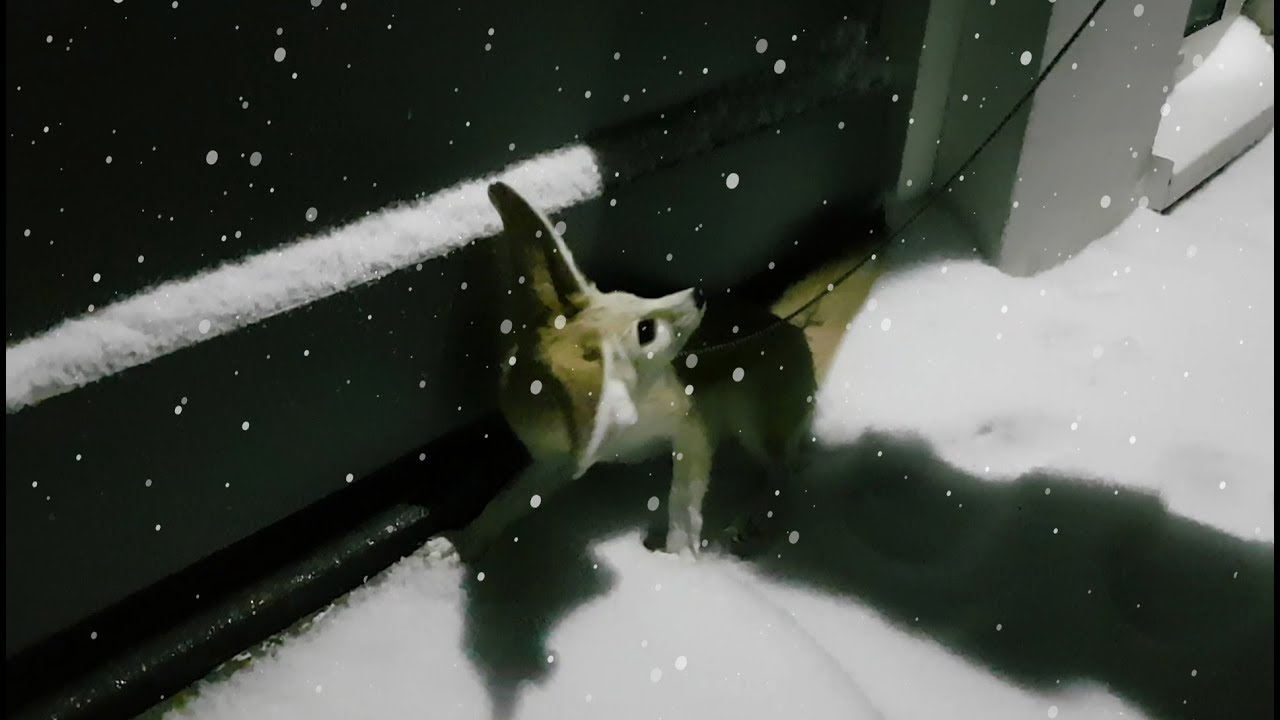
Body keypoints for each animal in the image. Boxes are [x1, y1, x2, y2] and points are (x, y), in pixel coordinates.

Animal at [428, 181, 881, 563]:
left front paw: (677, 560)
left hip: (748, 412)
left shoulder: (693, 422)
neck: (625, 426)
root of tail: (788, 324)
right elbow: (505, 501)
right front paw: (463, 542)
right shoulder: (555, 460)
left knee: (786, 470)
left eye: (628, 296)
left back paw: (756, 517)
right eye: (646, 331)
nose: (699, 293)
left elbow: (683, 502)